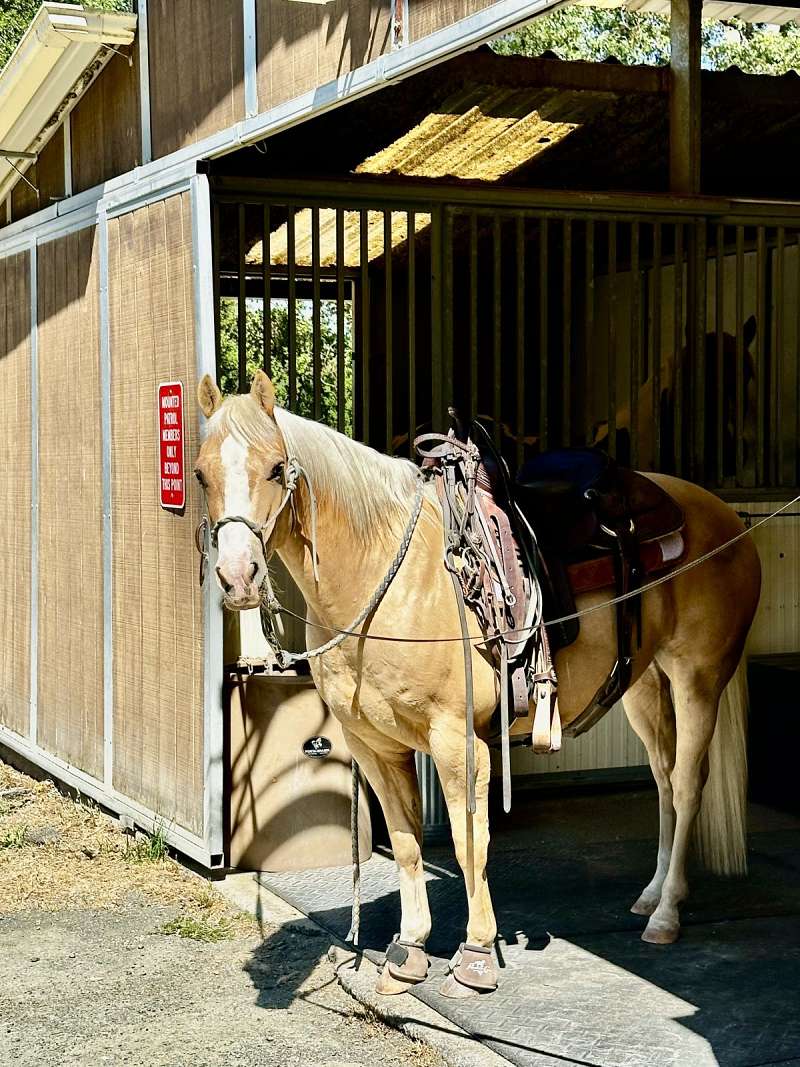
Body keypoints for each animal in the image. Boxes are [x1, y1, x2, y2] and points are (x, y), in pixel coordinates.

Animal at [194, 370, 761, 998]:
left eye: (275, 468)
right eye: (200, 473)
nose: (238, 578)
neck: (387, 575)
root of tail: (726, 517)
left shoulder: (455, 742)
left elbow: (470, 845)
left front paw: (476, 955)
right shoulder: (374, 747)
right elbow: (408, 844)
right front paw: (409, 951)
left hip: (698, 677)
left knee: (686, 784)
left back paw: (666, 916)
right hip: (641, 685)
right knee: (662, 780)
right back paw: (654, 893)